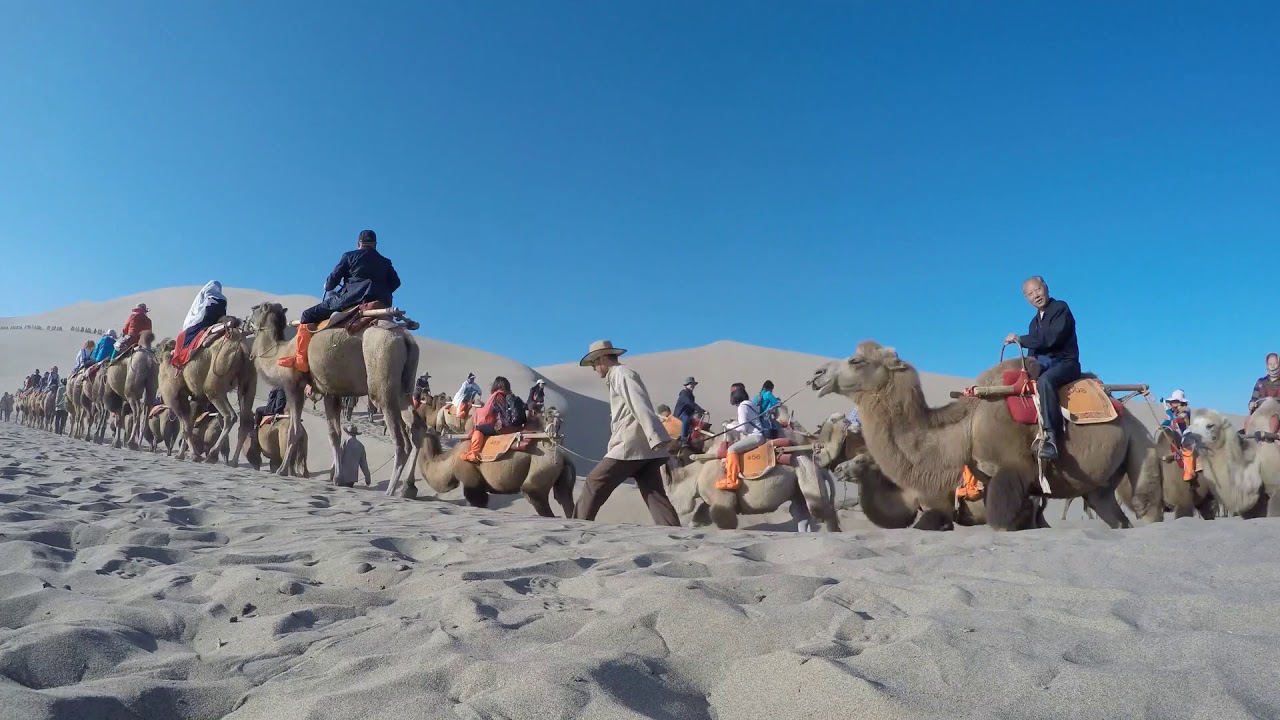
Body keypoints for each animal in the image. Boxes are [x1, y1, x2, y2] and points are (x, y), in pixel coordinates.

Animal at [156, 321, 257, 465]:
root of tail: (242, 348)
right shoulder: (197, 397)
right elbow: (190, 425)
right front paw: (183, 454)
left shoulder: (175, 397)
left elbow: (185, 428)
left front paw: (193, 455)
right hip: (249, 381)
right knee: (245, 420)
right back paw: (233, 461)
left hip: (214, 386)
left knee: (230, 416)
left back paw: (212, 455)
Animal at [247, 303, 419, 489]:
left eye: (256, 308)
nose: (246, 320)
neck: (280, 353)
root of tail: (404, 338)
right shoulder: (331, 391)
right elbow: (334, 434)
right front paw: (337, 478)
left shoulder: (293, 385)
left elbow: (295, 429)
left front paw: (282, 470)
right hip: (405, 388)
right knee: (417, 428)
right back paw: (407, 487)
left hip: (382, 371)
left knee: (401, 441)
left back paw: (391, 490)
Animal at [407, 428, 576, 517]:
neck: (451, 458)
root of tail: (564, 455)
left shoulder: (469, 477)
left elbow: (478, 500)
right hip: (560, 474)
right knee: (565, 499)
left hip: (540, 467)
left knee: (534, 494)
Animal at [810, 340, 1162, 531]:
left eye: (856, 360)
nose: (817, 374)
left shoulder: (1010, 474)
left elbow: (1000, 522)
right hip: (1100, 487)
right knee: (1114, 514)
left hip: (1142, 445)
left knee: (1147, 505)